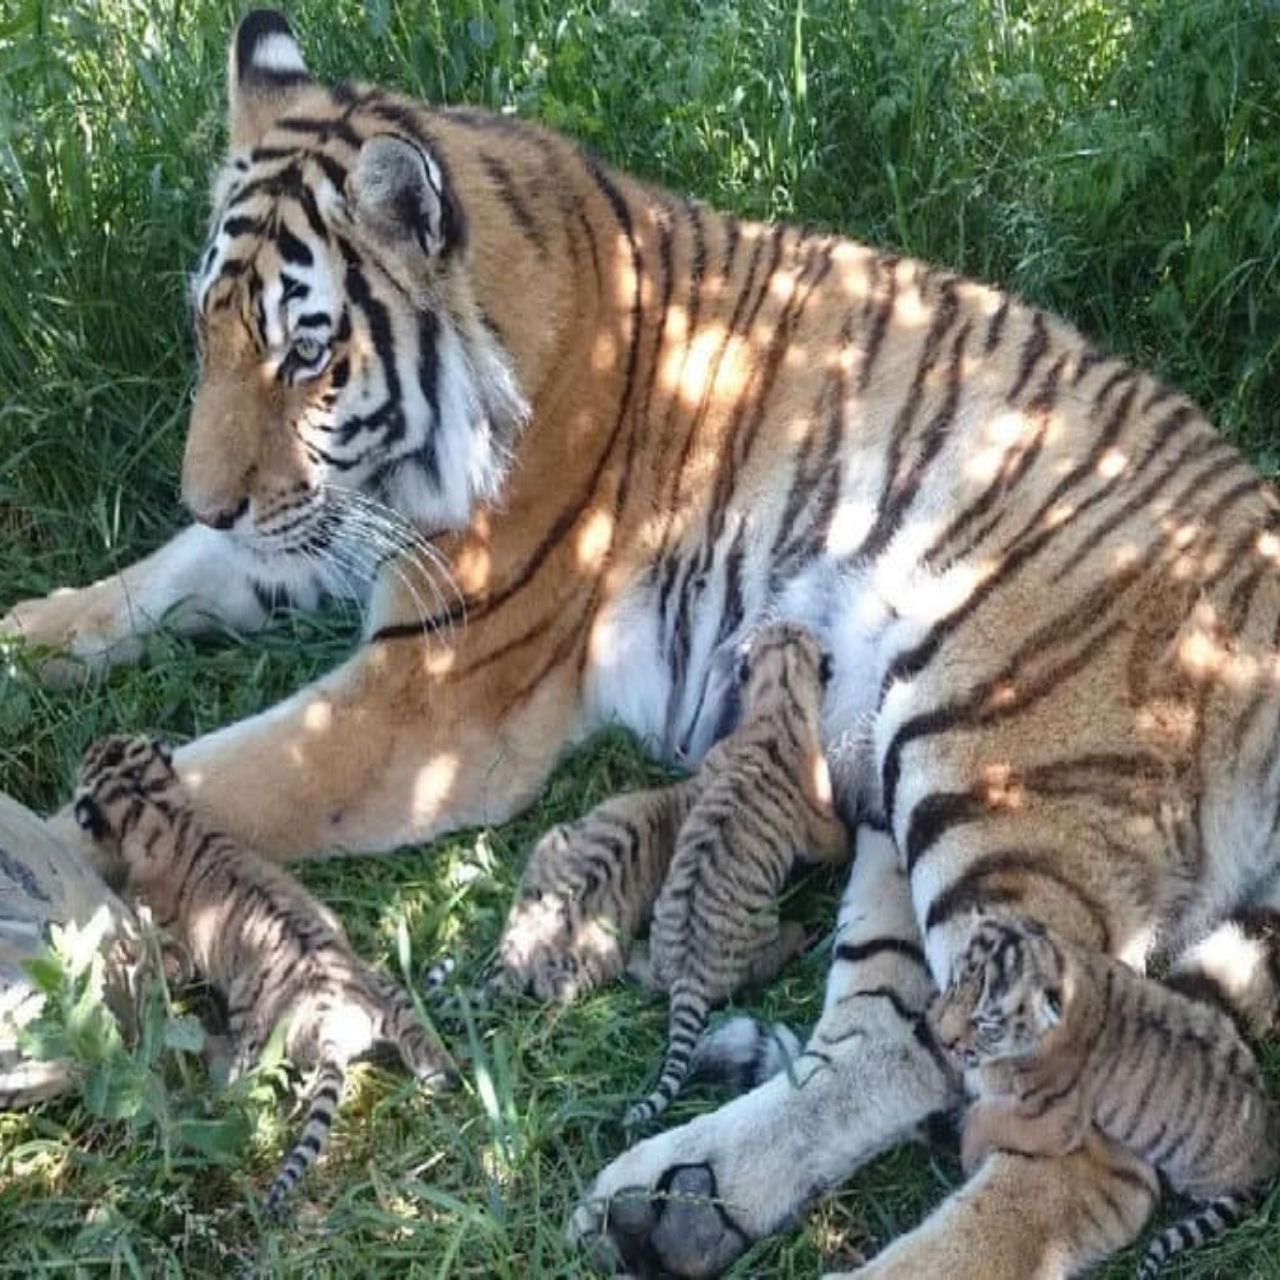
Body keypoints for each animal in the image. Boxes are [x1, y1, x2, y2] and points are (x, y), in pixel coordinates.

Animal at [72, 733, 456, 1217]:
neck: (159, 807)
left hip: (251, 1017)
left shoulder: (171, 943)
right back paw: (443, 1074)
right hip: (387, 991)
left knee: (249, 1082)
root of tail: (341, 1013)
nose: (88, 743)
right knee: (419, 1040)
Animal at [623, 621, 848, 1129]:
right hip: (760, 942)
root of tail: (688, 977)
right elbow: (838, 838)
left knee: (648, 975)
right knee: (775, 952)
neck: (777, 701)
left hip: (661, 953)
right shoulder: (820, 816)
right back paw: (801, 935)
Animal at [930, 916, 1279, 1277]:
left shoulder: (1054, 1118)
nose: (941, 1039)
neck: (1068, 972)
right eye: (953, 985)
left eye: (986, 1025)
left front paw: (968, 1153)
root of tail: (1265, 1160)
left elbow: (988, 1118)